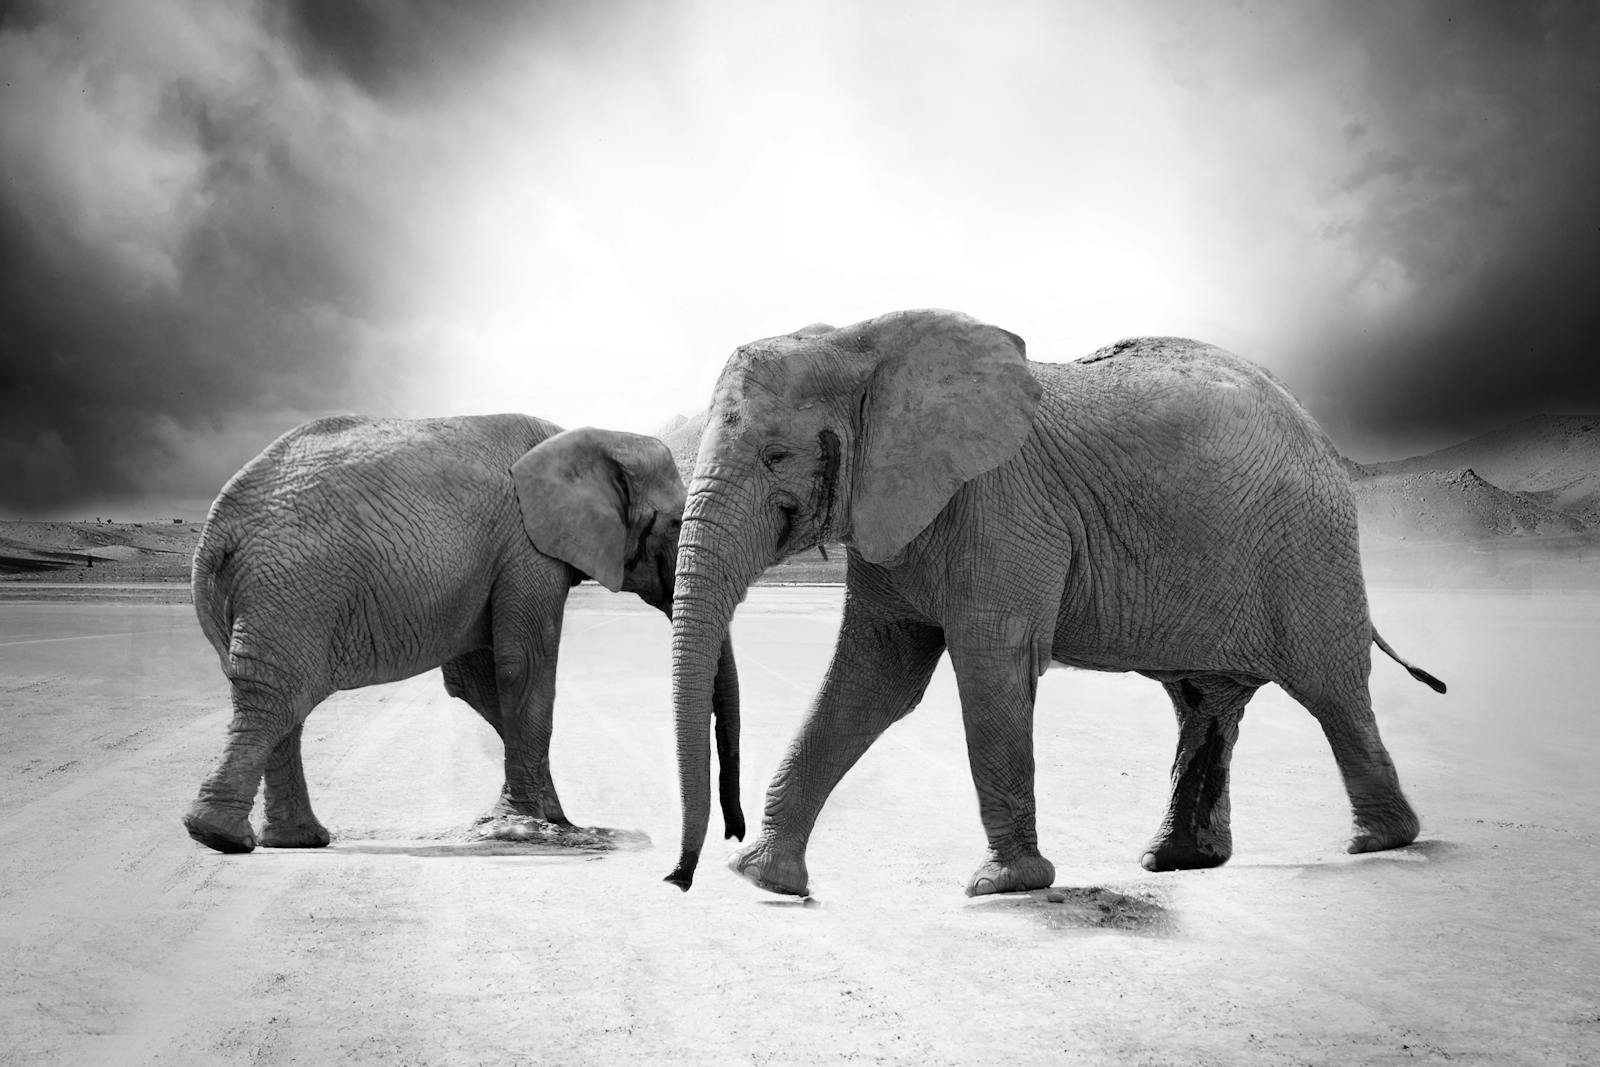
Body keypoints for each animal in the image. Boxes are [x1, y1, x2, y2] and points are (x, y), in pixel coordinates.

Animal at [183, 413, 744, 854]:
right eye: (677, 525)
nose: (733, 835)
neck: (589, 437)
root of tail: (216, 530)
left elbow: (478, 681)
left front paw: (554, 818)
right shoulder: (525, 547)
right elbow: (523, 667)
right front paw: (533, 825)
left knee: (280, 702)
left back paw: (294, 841)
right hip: (293, 588)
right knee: (278, 697)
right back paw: (221, 837)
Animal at [663, 309, 1445, 896]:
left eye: (775, 456)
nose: (679, 877)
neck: (861, 343)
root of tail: (1317, 430)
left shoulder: (1002, 509)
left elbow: (991, 666)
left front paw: (1004, 885)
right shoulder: (896, 516)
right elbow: (873, 678)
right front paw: (764, 878)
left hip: (1310, 548)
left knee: (1330, 688)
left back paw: (1378, 840)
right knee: (1205, 703)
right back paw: (1177, 861)